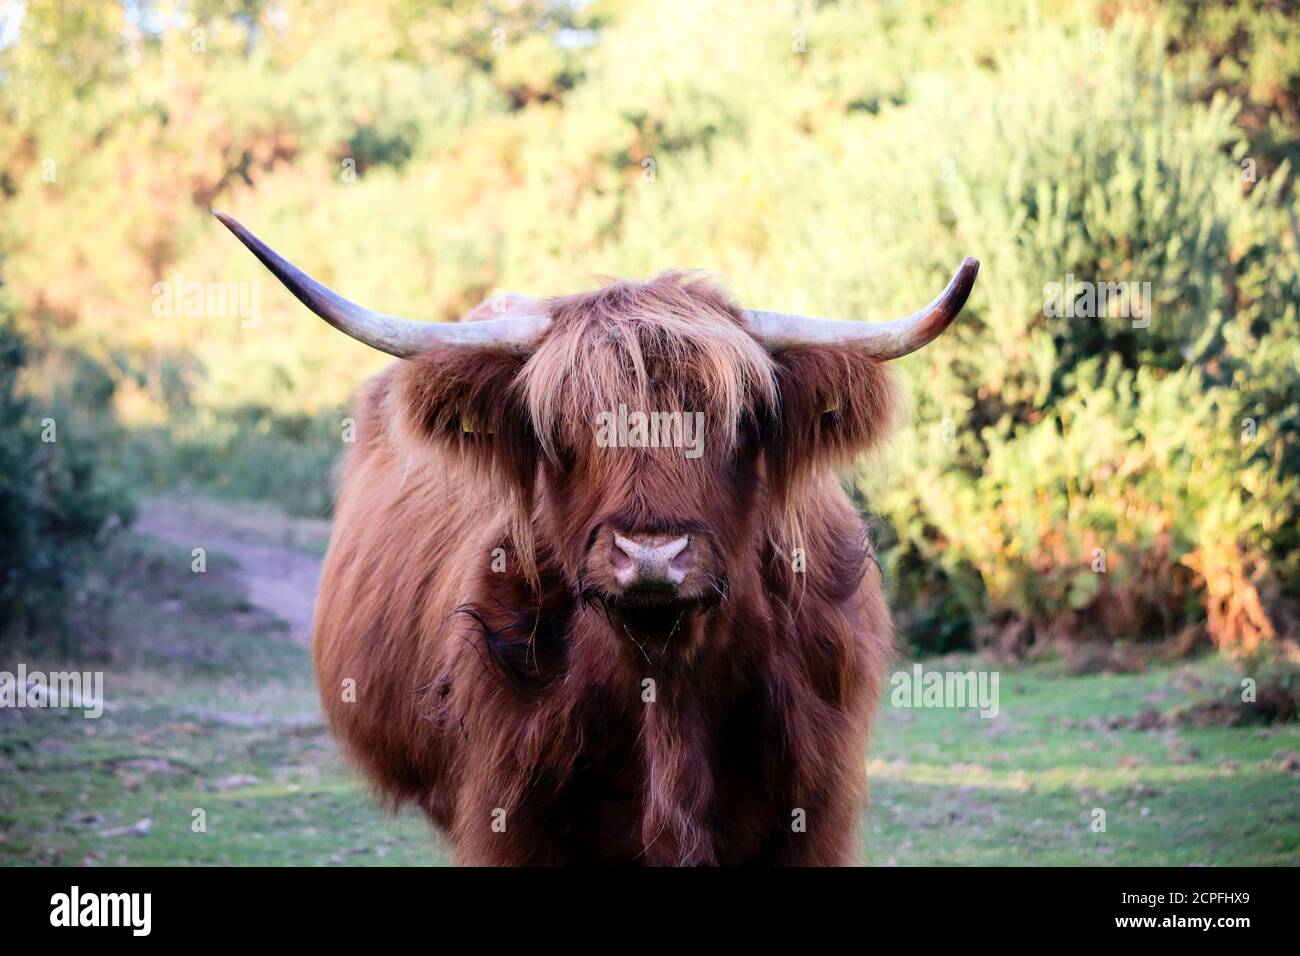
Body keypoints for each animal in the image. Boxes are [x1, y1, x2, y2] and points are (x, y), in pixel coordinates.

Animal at [215, 210, 978, 865]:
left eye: (743, 421)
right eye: (560, 429)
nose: (651, 555)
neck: (666, 681)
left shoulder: (811, 819)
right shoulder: (511, 820)